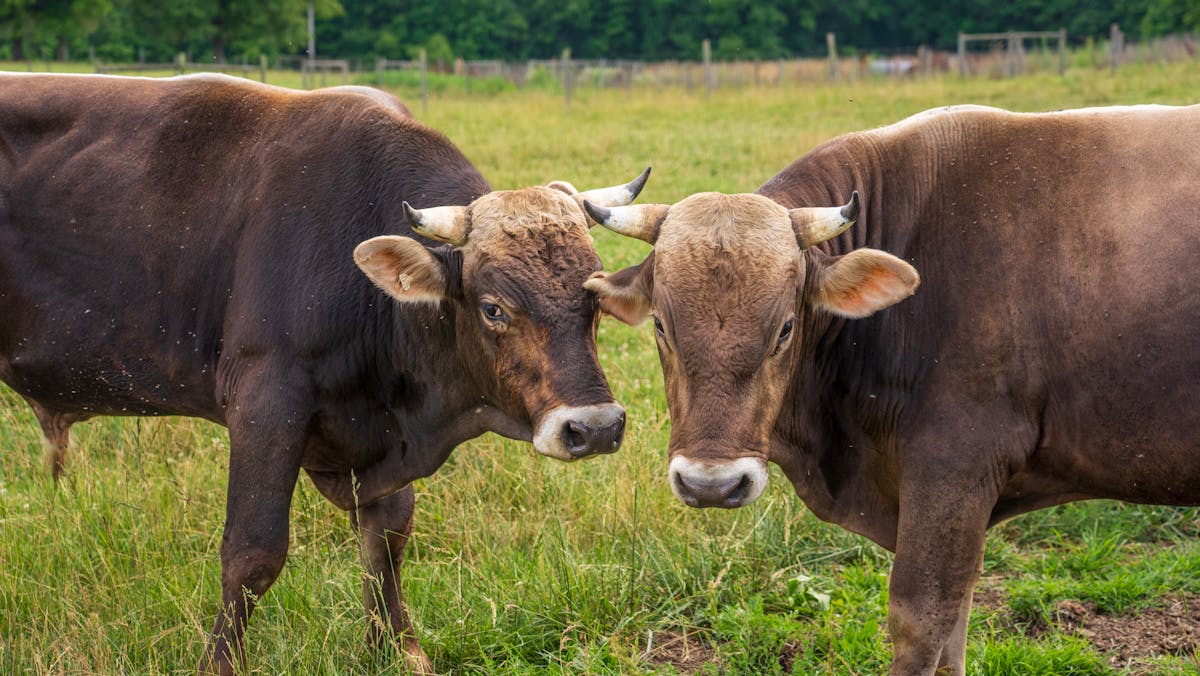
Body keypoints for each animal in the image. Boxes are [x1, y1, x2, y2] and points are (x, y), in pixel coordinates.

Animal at [0, 72, 644, 674]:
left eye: (593, 299)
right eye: (493, 308)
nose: (594, 427)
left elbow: (387, 538)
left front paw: (397, 649)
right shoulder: (266, 403)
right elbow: (252, 552)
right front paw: (220, 664)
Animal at [582, 104, 1200, 675]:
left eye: (785, 328)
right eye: (662, 326)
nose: (710, 484)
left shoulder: (955, 466)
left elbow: (922, 621)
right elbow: (954, 629)